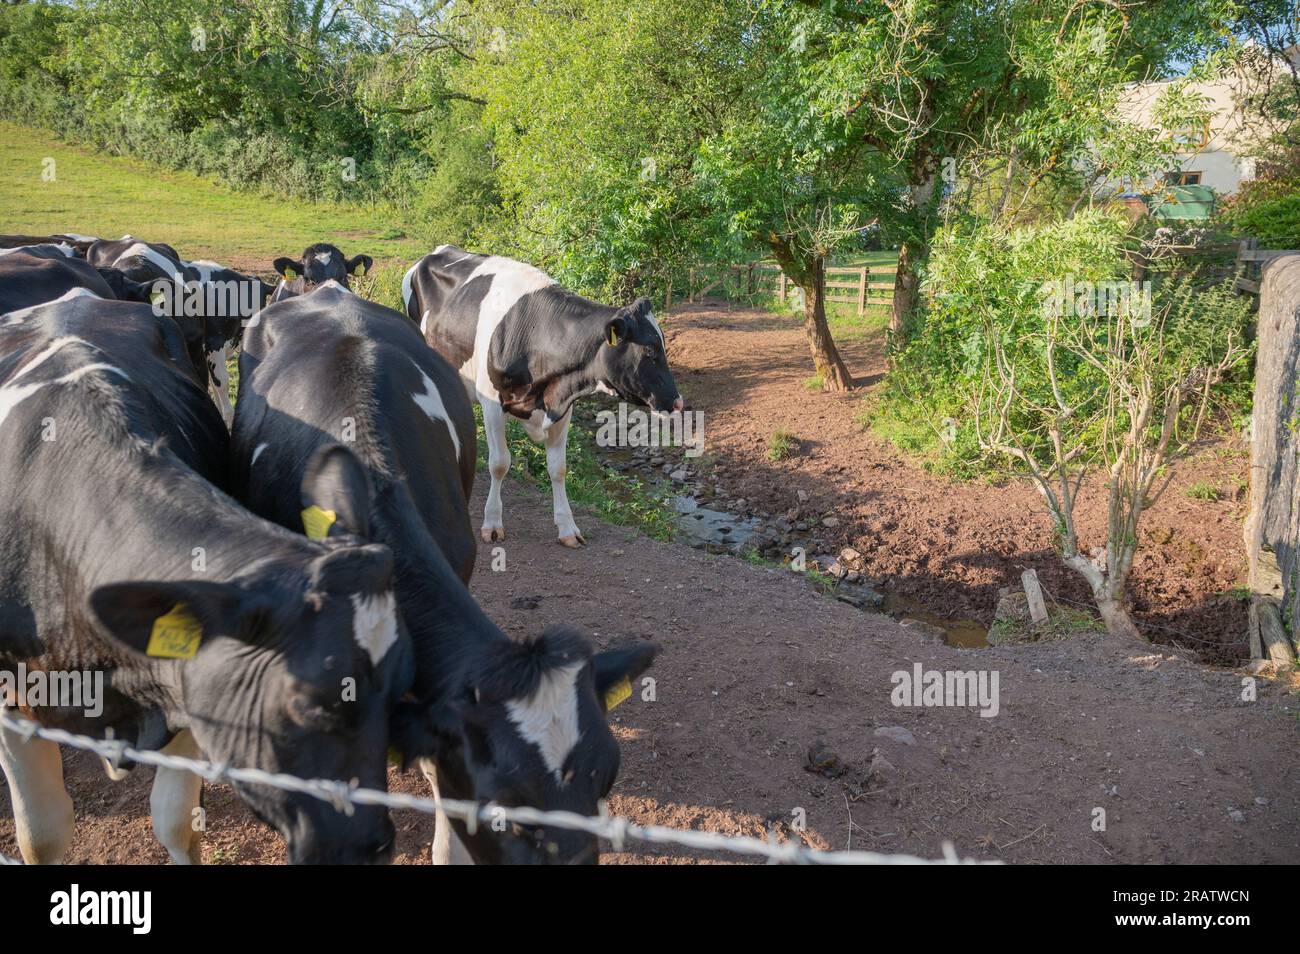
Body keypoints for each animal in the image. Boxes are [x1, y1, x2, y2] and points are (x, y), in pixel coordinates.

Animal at [402, 246, 683, 547]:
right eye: (650, 351)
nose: (677, 402)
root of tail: (438, 250)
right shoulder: (491, 403)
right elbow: (499, 463)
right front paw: (492, 523)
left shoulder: (562, 407)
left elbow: (558, 468)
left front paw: (567, 528)